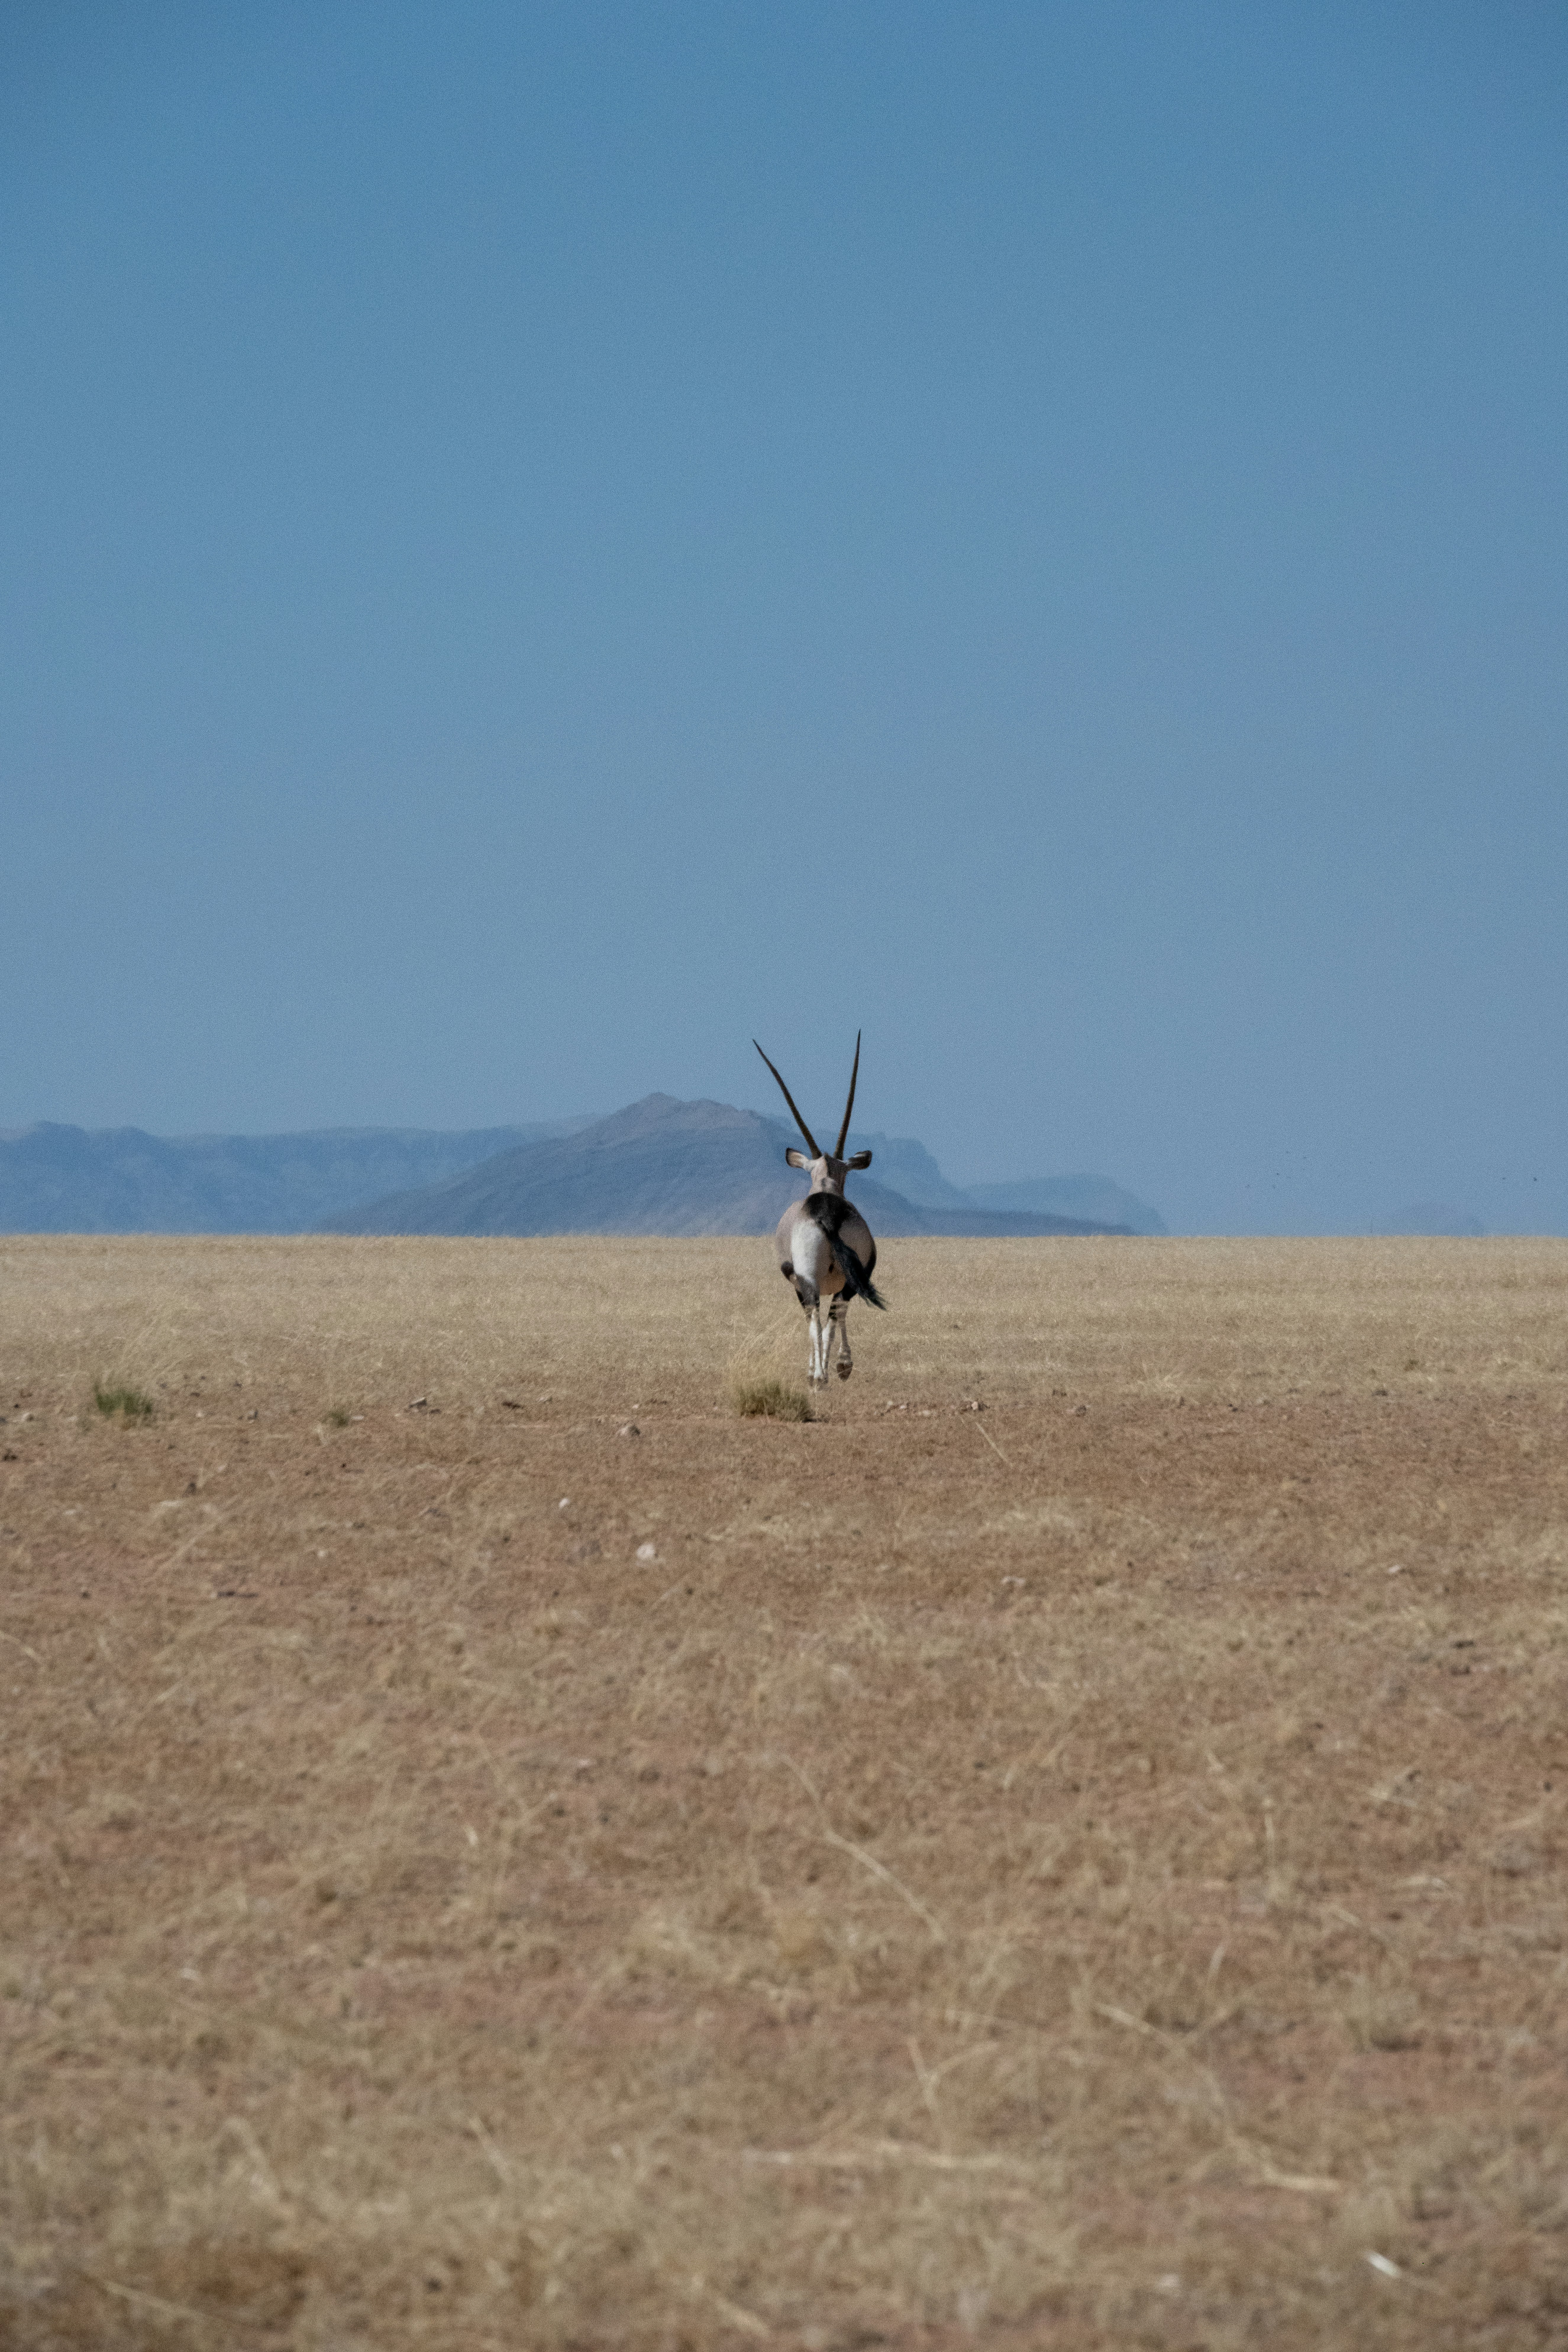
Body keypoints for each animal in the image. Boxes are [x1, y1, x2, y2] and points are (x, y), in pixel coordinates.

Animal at [754, 1032, 887, 1387]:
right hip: (845, 1280)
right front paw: (838, 1366)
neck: (825, 1188)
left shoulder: (799, 1284)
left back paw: (821, 1375)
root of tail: (826, 1212)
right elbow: (835, 1318)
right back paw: (835, 1369)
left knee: (818, 1318)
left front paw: (819, 1369)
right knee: (835, 1314)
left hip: (810, 1280)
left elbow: (814, 1322)